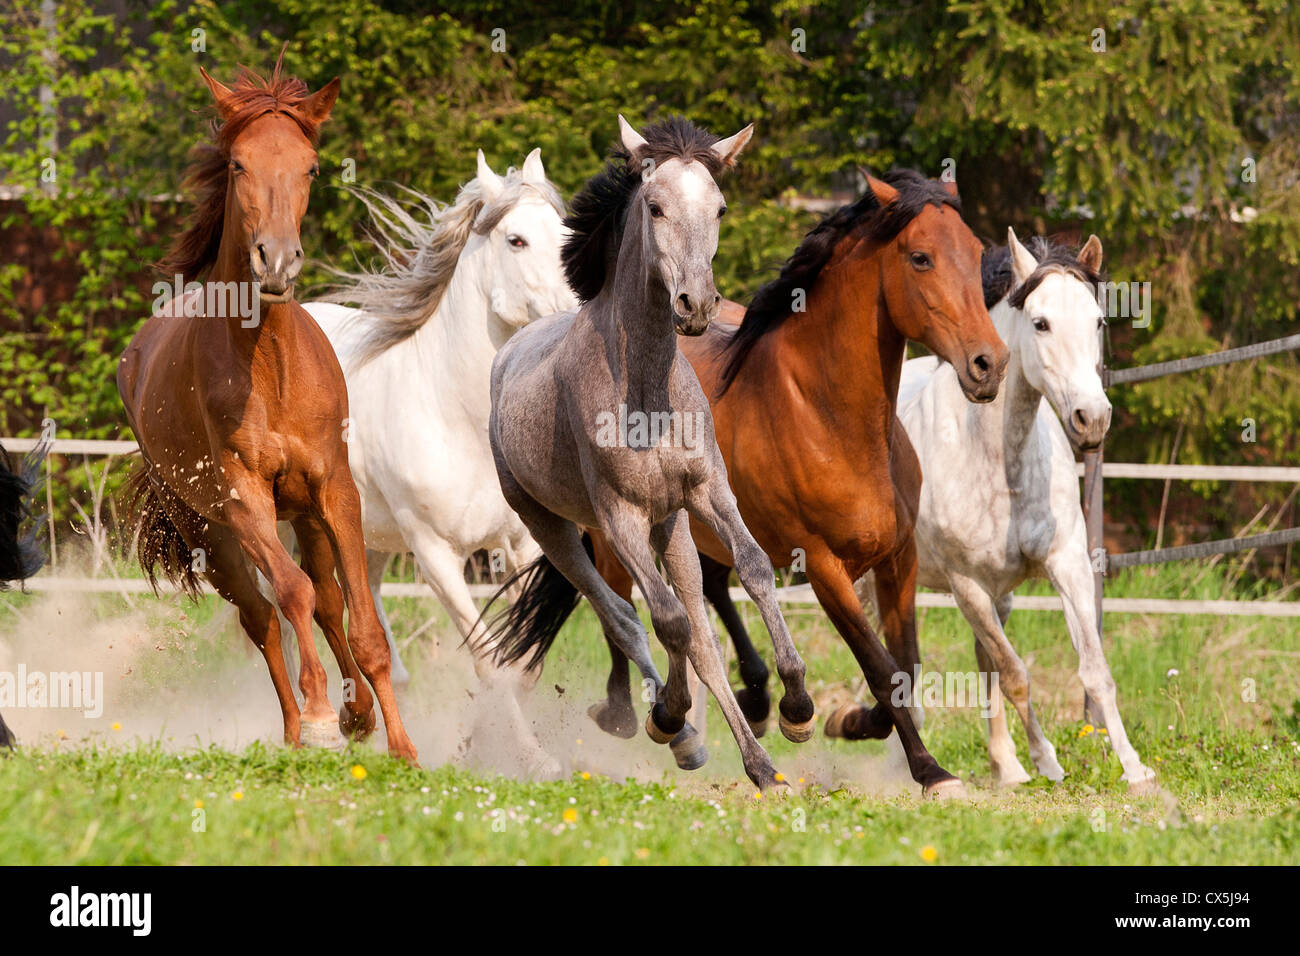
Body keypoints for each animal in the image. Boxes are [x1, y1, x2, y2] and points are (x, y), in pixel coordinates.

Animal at [116, 56, 417, 763]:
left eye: (311, 166)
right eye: (237, 164)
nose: (276, 260)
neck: (269, 367)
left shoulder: (335, 489)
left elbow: (361, 622)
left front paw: (401, 747)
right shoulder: (243, 499)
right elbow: (290, 594)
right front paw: (319, 715)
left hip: (303, 512)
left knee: (328, 601)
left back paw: (357, 714)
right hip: (212, 533)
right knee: (263, 617)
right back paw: (297, 729)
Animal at [293, 150, 576, 776]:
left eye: (565, 231)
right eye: (516, 239)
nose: (578, 313)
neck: (459, 417)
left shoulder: (522, 545)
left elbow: (522, 665)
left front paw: (484, 745)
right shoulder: (435, 554)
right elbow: (489, 659)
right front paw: (532, 759)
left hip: (367, 535)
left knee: (363, 598)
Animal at [478, 115, 815, 791]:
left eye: (719, 207)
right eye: (655, 207)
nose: (696, 305)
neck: (645, 389)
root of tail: (513, 349)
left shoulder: (708, 492)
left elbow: (754, 571)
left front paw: (797, 708)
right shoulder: (619, 518)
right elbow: (667, 620)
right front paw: (668, 715)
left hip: (673, 525)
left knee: (698, 637)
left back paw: (757, 764)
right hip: (554, 528)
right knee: (625, 617)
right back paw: (676, 728)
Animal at [586, 169, 1011, 797]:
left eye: (977, 252)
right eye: (920, 257)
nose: (990, 365)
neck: (829, 419)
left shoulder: (899, 558)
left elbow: (905, 668)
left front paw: (847, 721)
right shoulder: (824, 566)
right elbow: (881, 668)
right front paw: (929, 770)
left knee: (712, 589)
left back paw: (760, 698)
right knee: (623, 603)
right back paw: (639, 713)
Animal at [862, 230, 1155, 790]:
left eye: (1098, 321)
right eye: (1040, 323)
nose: (1092, 419)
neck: (1000, 460)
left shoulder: (1066, 564)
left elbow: (1093, 670)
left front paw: (1133, 768)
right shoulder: (966, 585)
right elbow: (1017, 674)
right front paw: (1047, 760)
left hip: (1000, 594)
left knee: (983, 661)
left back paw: (1006, 765)